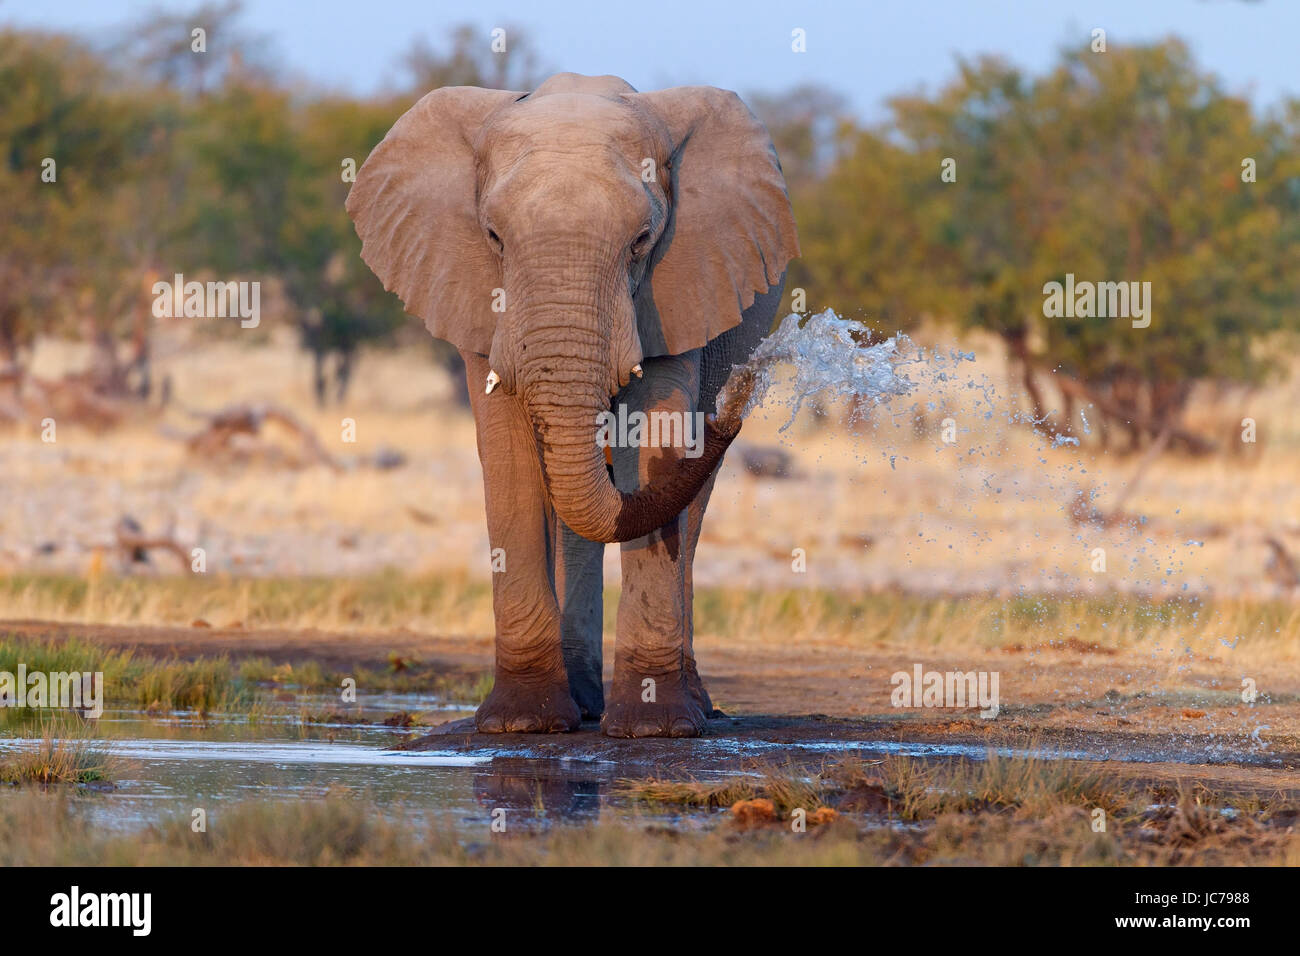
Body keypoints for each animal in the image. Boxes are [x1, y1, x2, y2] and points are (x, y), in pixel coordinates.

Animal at [346, 72, 799, 737]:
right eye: (493, 237)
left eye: (642, 242)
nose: (738, 400)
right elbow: (508, 457)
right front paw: (521, 724)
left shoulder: (678, 287)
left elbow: (655, 433)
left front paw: (653, 730)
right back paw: (582, 706)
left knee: (688, 508)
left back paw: (692, 708)